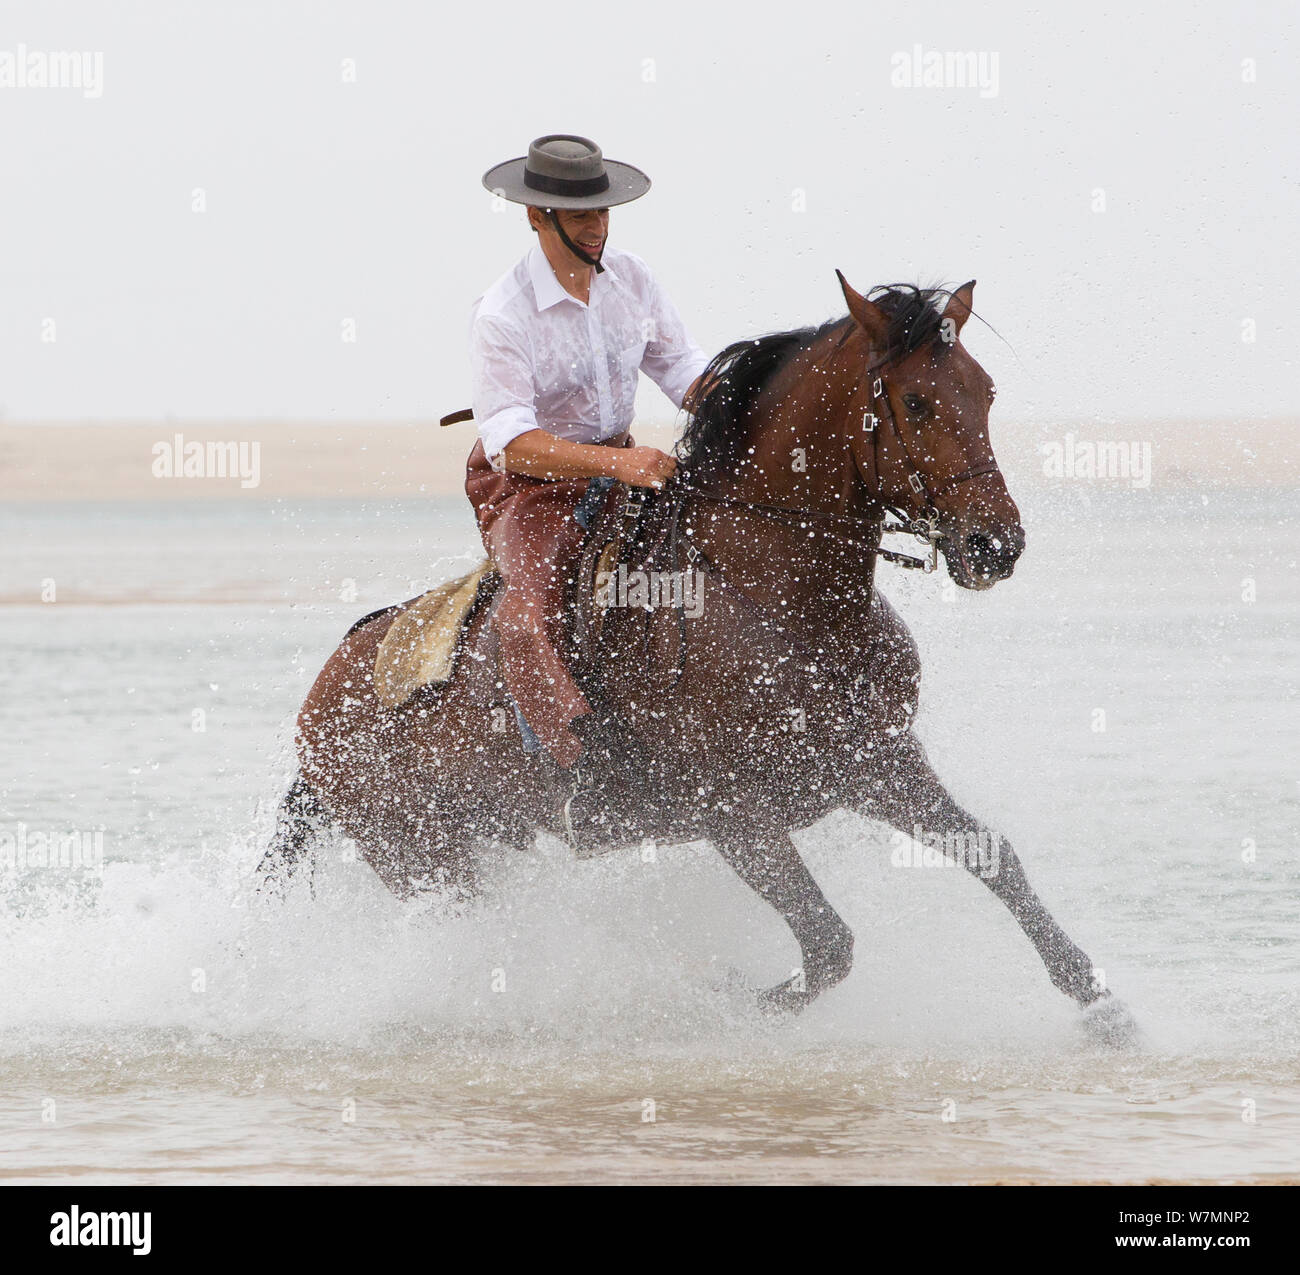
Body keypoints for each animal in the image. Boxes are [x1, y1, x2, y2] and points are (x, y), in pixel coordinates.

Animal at [261, 271, 1136, 1042]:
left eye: (984, 391)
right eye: (916, 400)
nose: (996, 544)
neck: (782, 604)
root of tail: (316, 708)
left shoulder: (879, 762)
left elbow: (992, 857)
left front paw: (1101, 1001)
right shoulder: (736, 811)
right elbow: (828, 944)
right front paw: (715, 1000)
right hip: (422, 857)